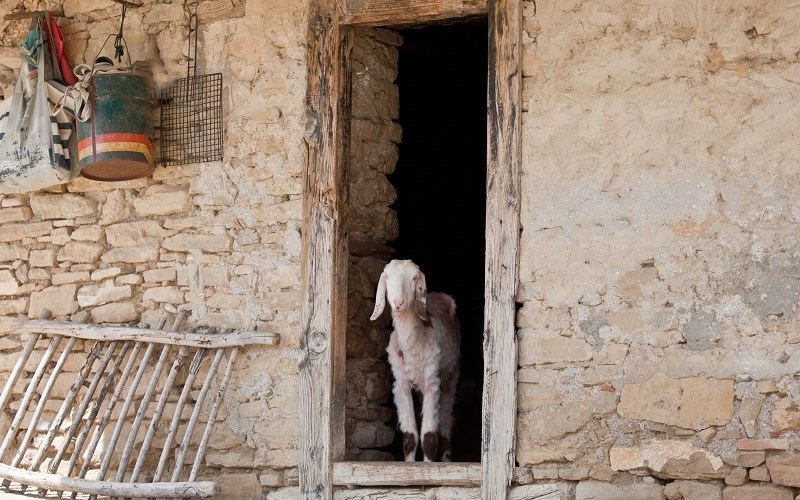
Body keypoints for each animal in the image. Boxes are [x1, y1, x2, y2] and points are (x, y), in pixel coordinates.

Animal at [370, 259, 460, 462]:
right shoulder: (401, 383)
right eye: (387, 276)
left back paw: (446, 458)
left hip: (451, 374)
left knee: (446, 419)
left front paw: (427, 465)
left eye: (414, 278)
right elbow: (410, 436)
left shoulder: (432, 381)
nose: (398, 302)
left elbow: (429, 436)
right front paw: (410, 464)